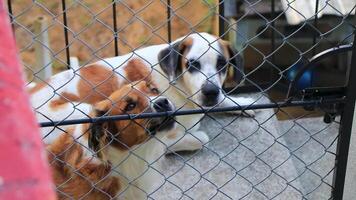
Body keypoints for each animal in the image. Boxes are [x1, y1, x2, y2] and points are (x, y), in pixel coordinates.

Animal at [30, 32, 253, 154]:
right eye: (192, 64)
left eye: (222, 64)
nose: (210, 91)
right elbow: (199, 139)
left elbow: (223, 100)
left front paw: (244, 103)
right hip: (86, 110)